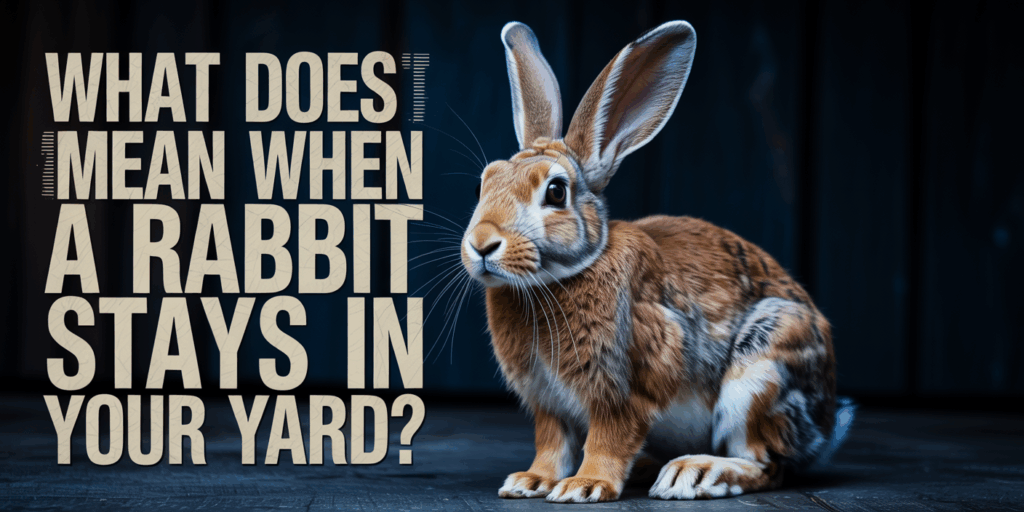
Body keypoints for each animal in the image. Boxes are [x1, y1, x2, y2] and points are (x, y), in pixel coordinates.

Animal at [459, 20, 844, 503]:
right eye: (482, 186)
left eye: (556, 192)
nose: (481, 244)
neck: (560, 277)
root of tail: (828, 424)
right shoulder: (548, 404)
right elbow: (551, 444)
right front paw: (531, 481)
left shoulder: (627, 390)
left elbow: (608, 439)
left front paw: (584, 486)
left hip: (761, 369)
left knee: (765, 464)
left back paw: (693, 473)